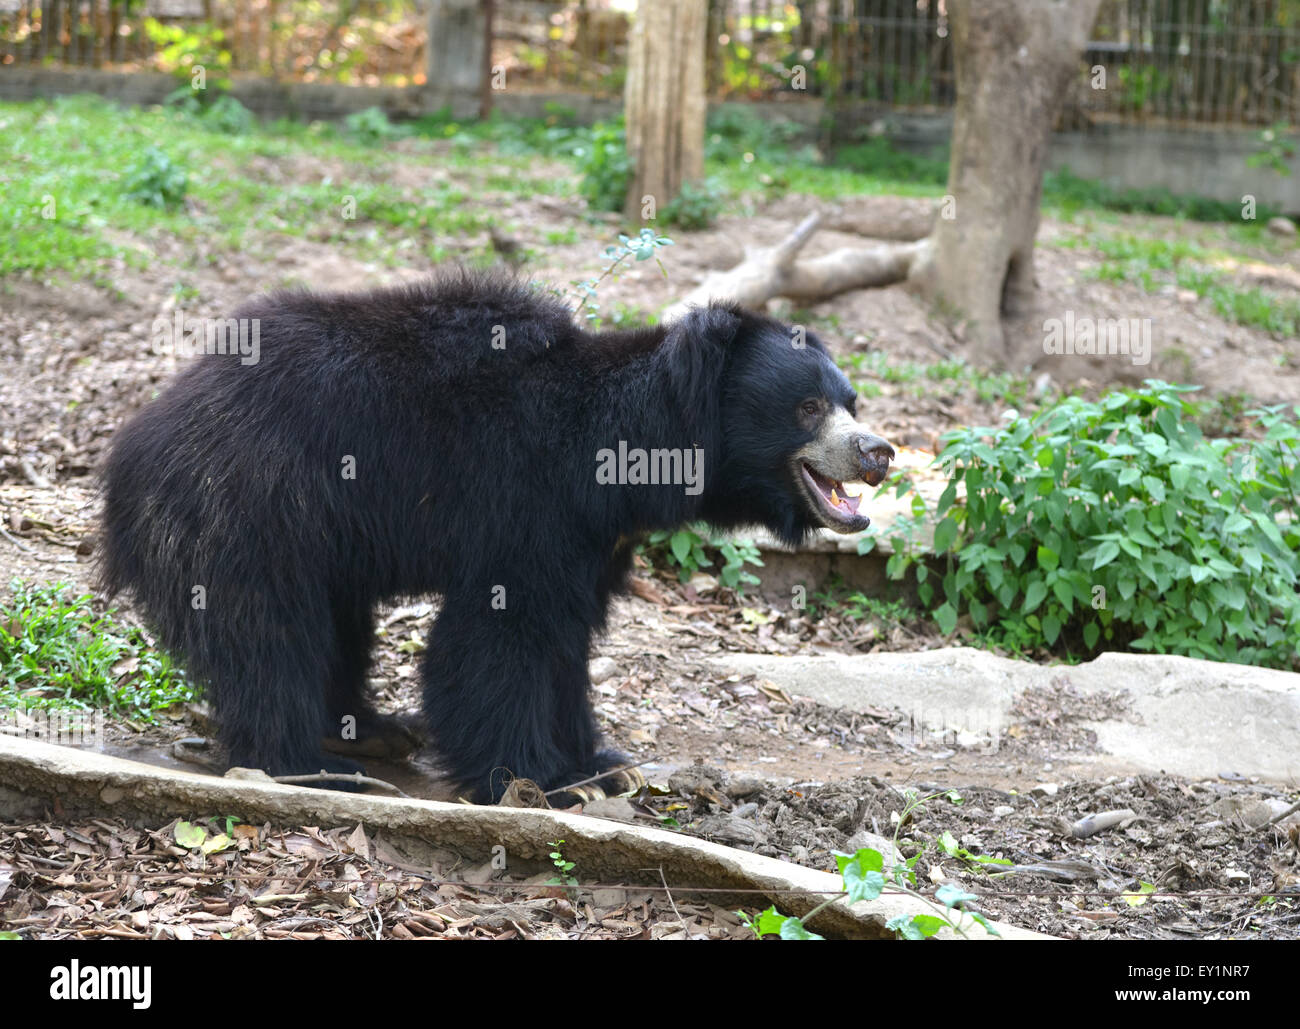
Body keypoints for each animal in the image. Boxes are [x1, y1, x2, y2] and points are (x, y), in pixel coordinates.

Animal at [99, 269, 893, 803]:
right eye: (807, 407)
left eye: (851, 403)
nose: (879, 453)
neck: (624, 452)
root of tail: (140, 436)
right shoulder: (524, 501)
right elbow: (496, 638)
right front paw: (541, 780)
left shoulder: (592, 539)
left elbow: (566, 642)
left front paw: (603, 763)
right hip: (250, 508)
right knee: (269, 631)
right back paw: (310, 764)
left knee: (333, 623)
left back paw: (371, 728)